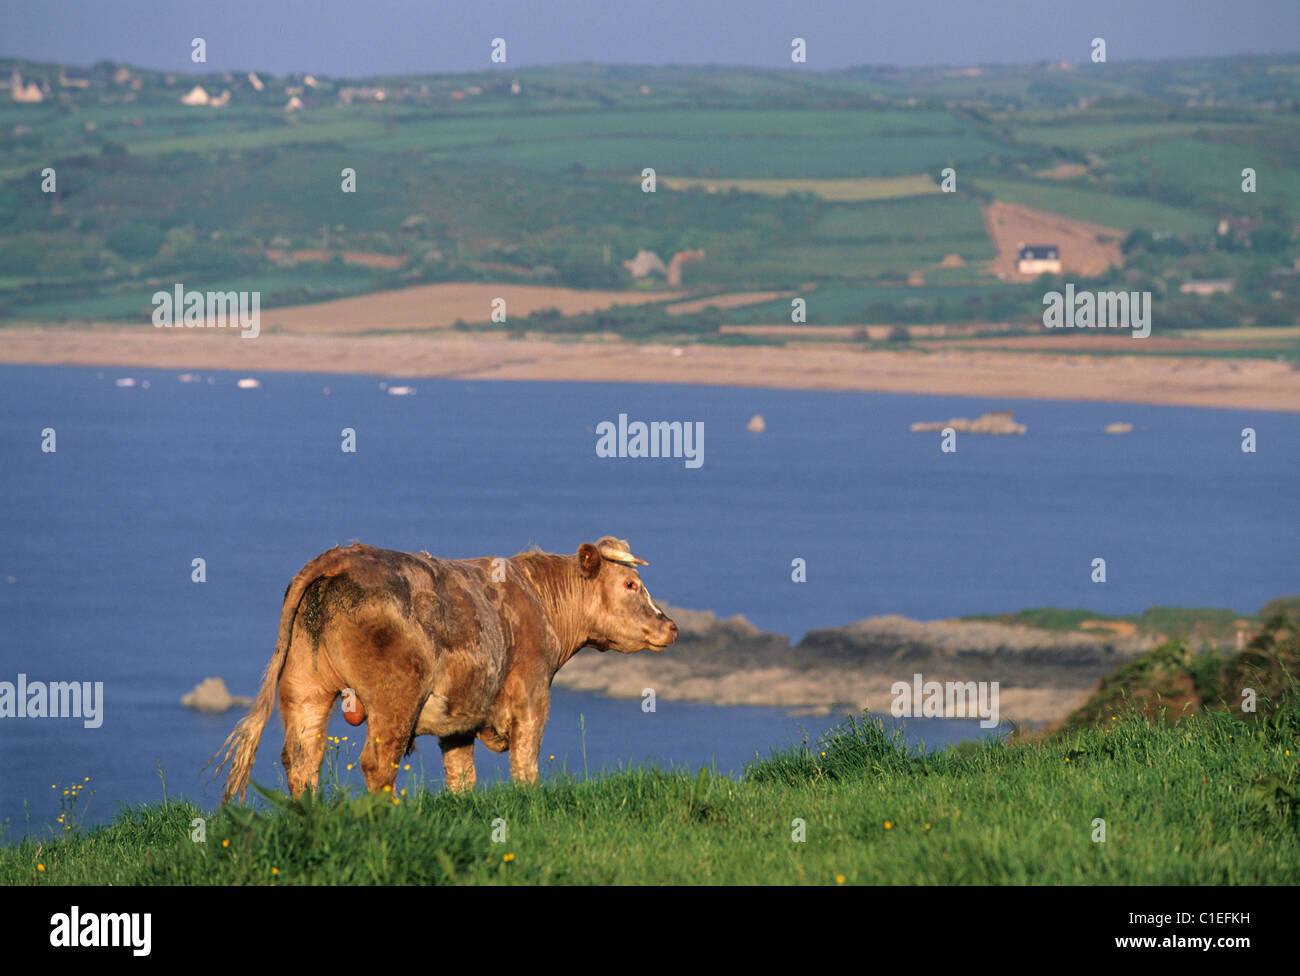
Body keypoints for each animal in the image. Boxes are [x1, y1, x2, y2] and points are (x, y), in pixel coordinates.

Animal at [213, 537, 677, 802]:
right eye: (630, 585)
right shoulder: (531, 695)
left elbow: (461, 775)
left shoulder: (460, 717)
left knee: (302, 758)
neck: (536, 598)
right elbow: (526, 764)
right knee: (377, 763)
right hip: (395, 696)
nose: (671, 626)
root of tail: (339, 557)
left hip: (305, 687)